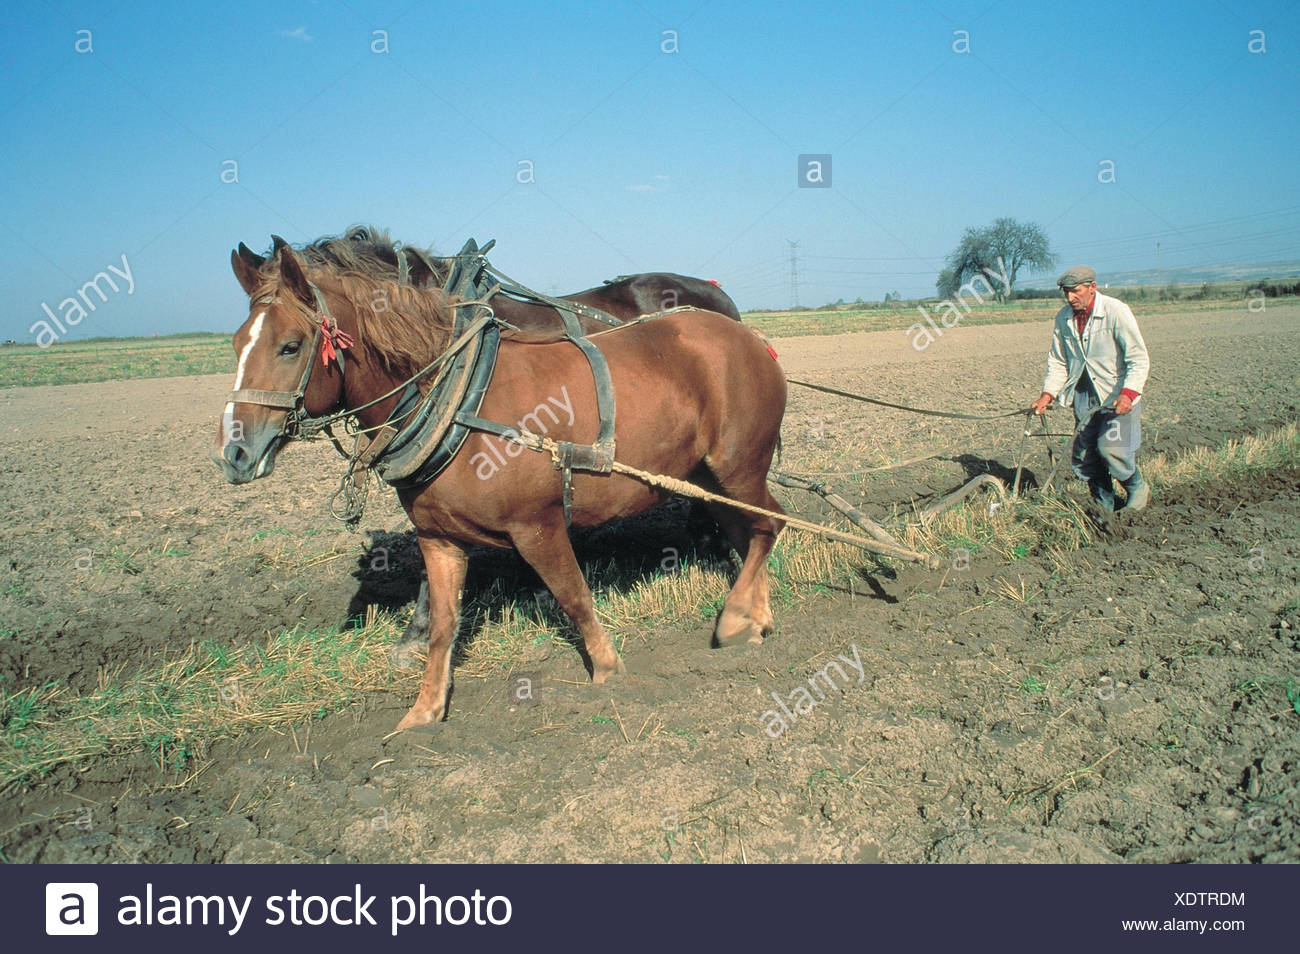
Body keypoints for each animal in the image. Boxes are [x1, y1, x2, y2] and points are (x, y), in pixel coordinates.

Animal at [214, 241, 787, 730]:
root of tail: (749, 337)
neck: (459, 397)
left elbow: (573, 595)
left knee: (769, 524)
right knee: (748, 532)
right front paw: (423, 711)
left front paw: (607, 670)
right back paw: (755, 615)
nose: (234, 453)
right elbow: (444, 623)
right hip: (709, 476)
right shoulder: (438, 539)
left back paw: (736, 617)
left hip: (739, 466)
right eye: (237, 343)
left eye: (290, 347)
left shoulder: (538, 526)